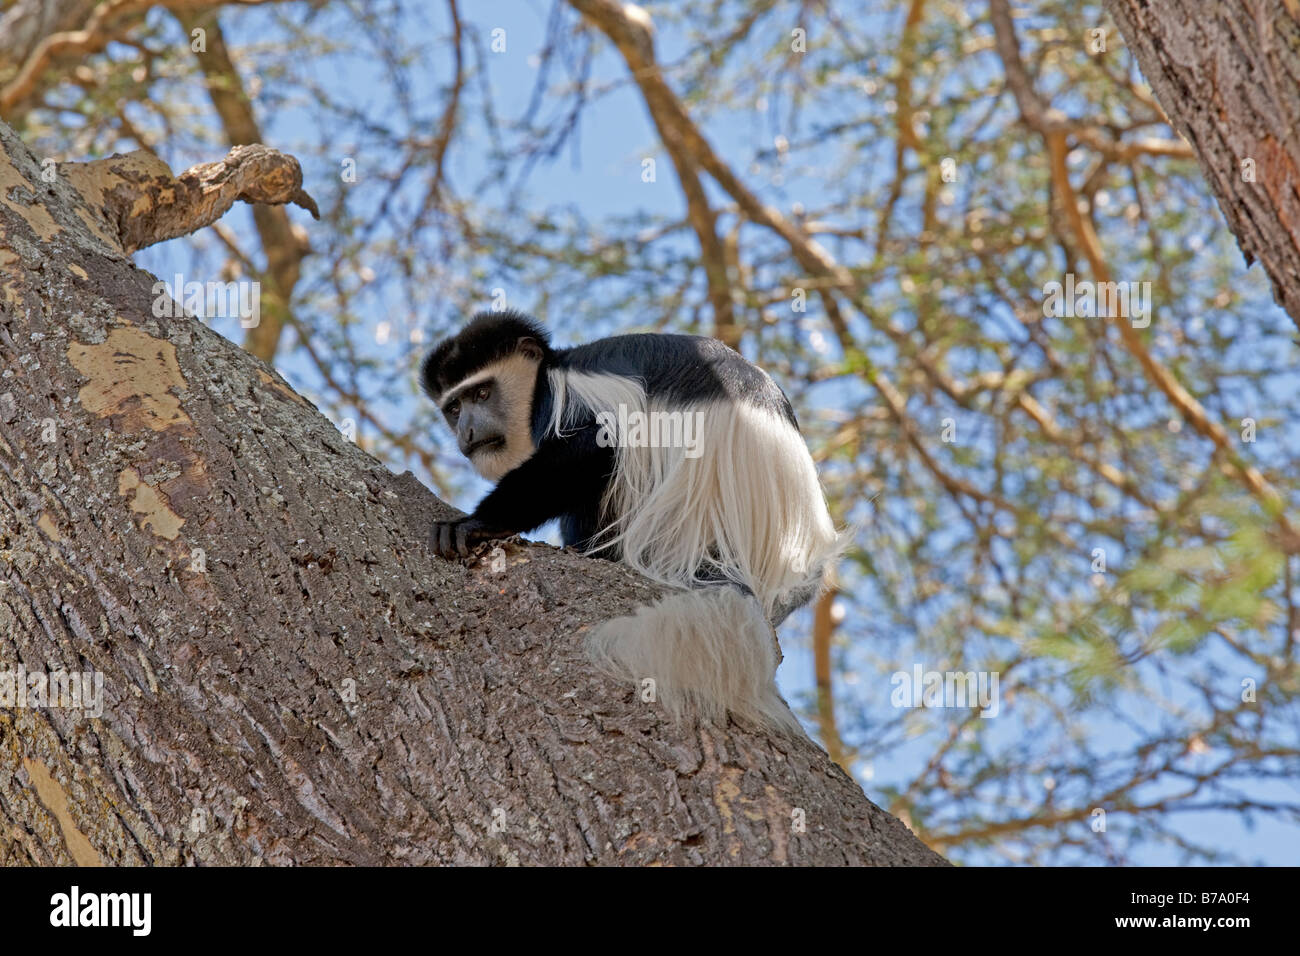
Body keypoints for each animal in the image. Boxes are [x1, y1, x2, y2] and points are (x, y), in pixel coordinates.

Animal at [420, 309, 841, 735]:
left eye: (482, 394)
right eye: (454, 408)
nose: (467, 431)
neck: (543, 376)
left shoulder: (564, 392)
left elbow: (598, 440)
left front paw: (478, 522)